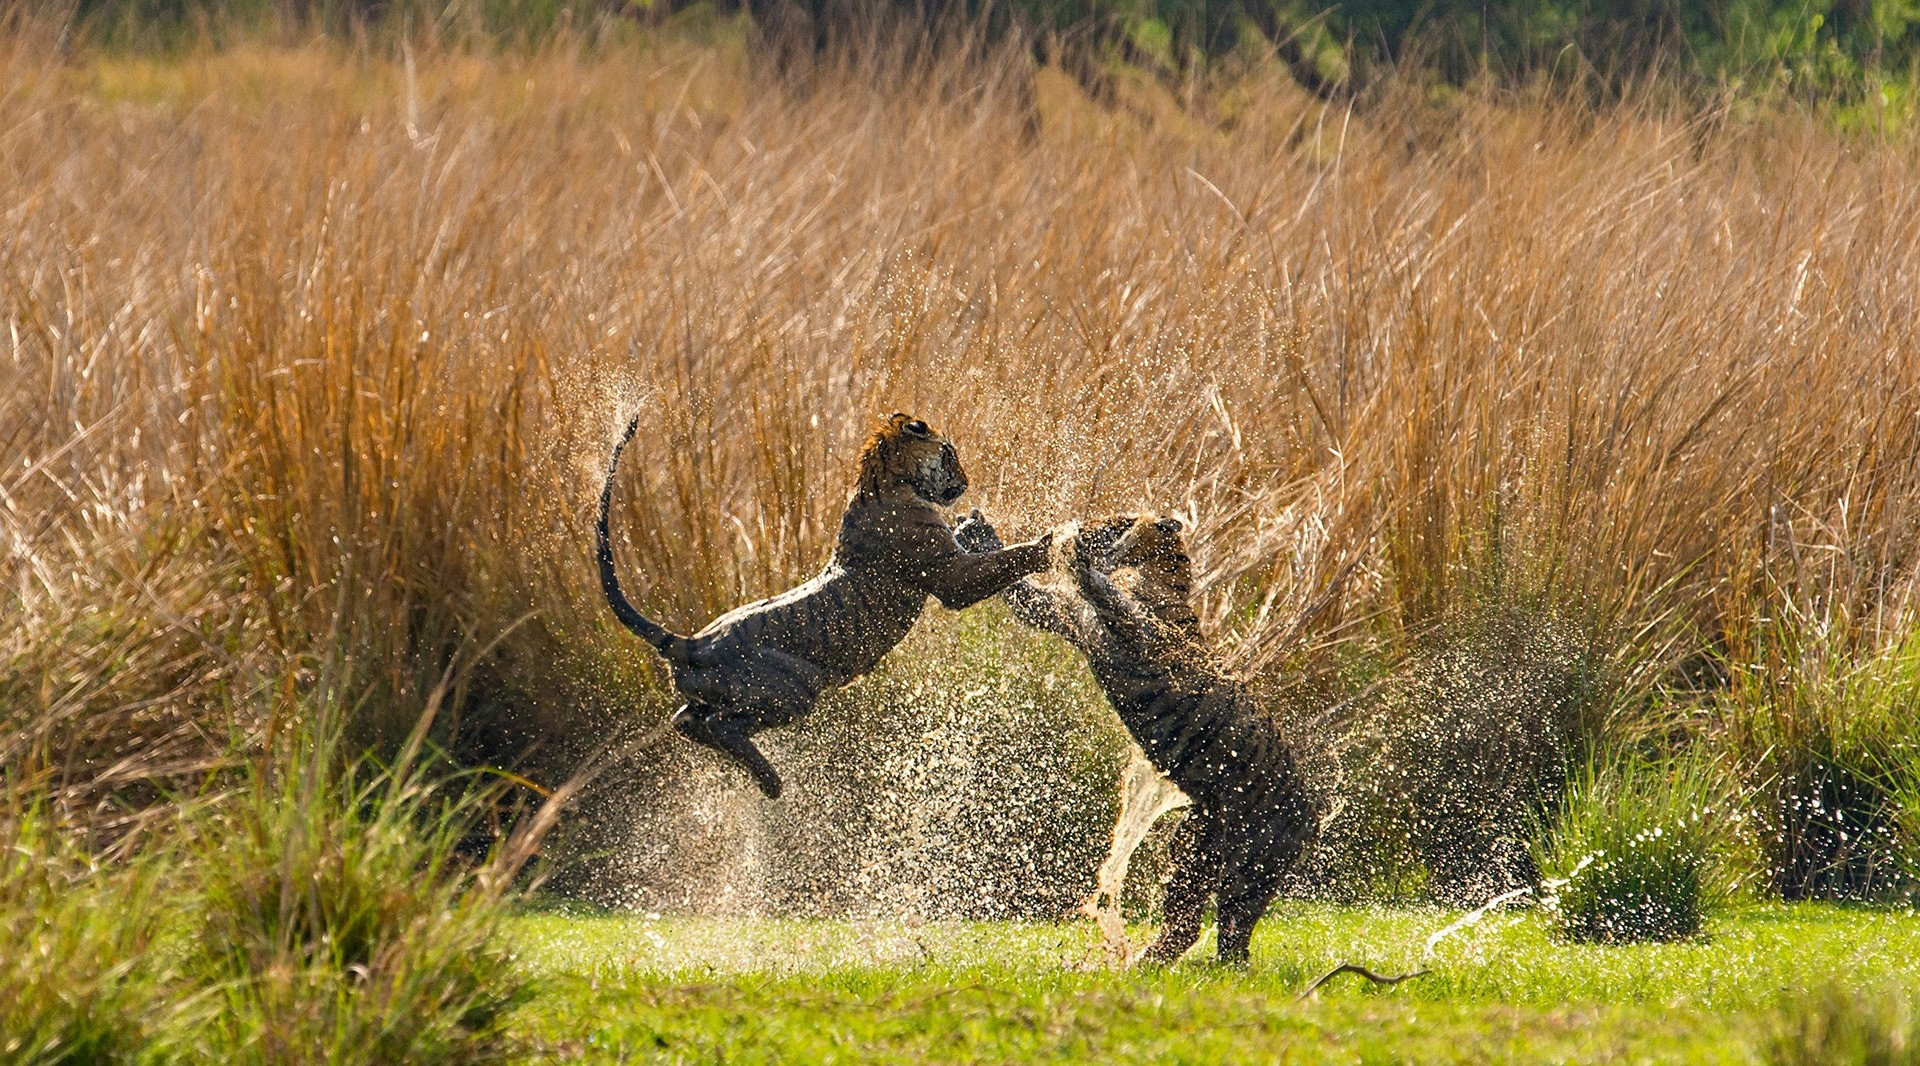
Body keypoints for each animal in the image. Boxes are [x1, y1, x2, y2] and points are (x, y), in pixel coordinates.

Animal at [598, 412, 1055, 800]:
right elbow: (1001, 563)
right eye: (949, 454)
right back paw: (771, 783)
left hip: (711, 695)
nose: (965, 481)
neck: (884, 482)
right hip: (793, 688)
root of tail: (688, 641)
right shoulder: (949, 577)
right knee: (720, 724)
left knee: (685, 720)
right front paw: (1046, 545)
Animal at [955, 510, 1319, 965]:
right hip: (1194, 847)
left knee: (1233, 936)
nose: (1087, 528)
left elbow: (1099, 588)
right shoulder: (1069, 616)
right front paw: (979, 534)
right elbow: (1030, 593)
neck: (1156, 574)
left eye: (1116, 521)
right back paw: (1145, 962)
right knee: (1187, 923)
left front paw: (1073, 547)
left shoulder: (1130, 627)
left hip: (1248, 868)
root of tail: (1314, 813)